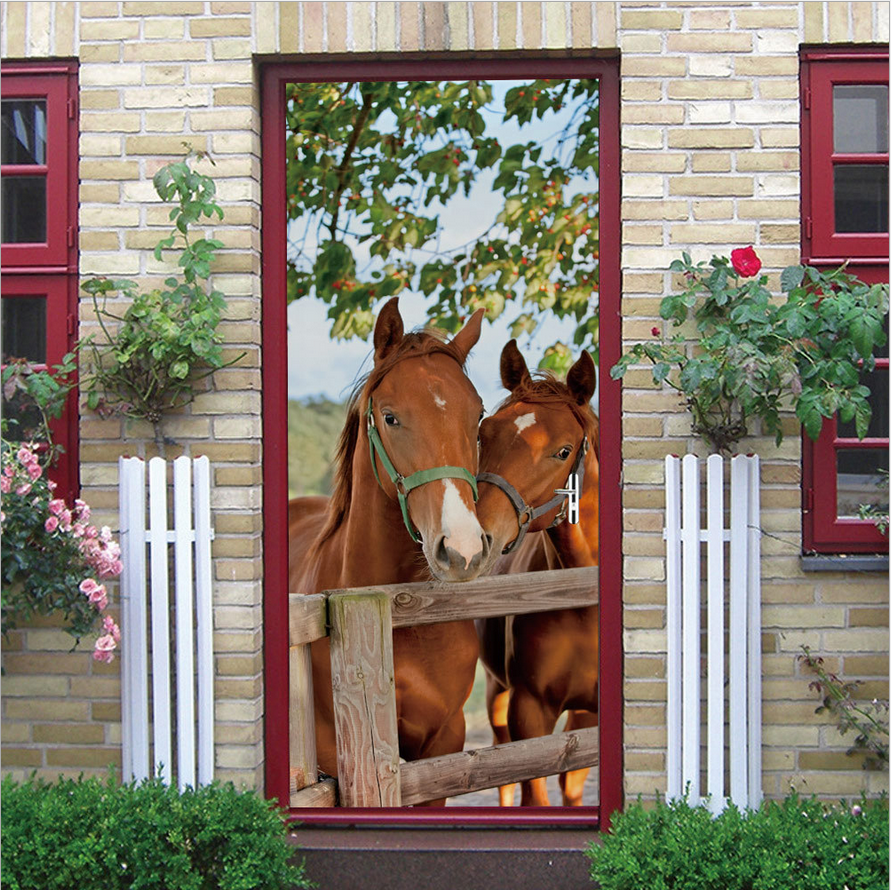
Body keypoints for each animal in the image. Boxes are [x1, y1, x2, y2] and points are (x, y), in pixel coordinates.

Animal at [475, 339, 600, 807]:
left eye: (563, 451)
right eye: (484, 433)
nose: (477, 534)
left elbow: (572, 785)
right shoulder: (529, 709)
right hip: (496, 694)